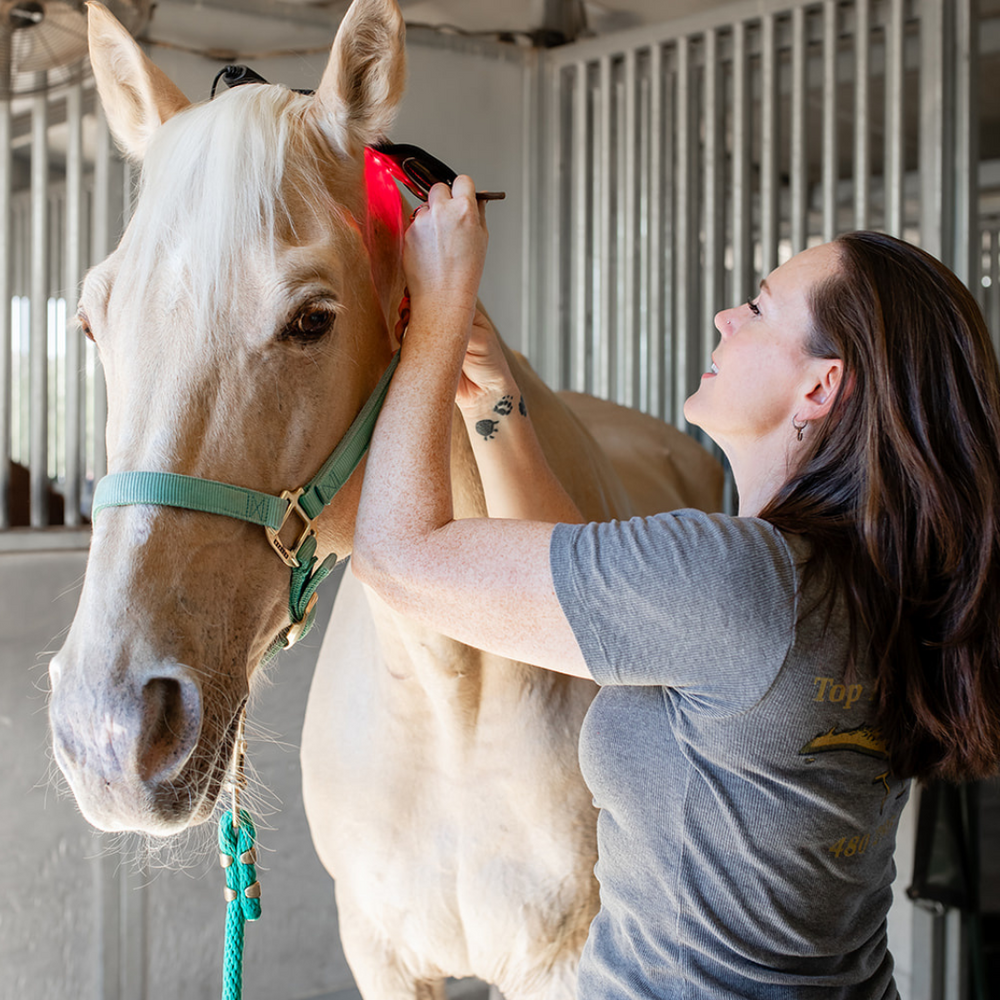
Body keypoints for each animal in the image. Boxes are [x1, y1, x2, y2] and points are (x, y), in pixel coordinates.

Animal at [48, 1, 723, 997]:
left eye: (313, 320)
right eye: (93, 321)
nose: (108, 732)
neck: (453, 692)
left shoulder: (562, 964)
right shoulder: (379, 948)